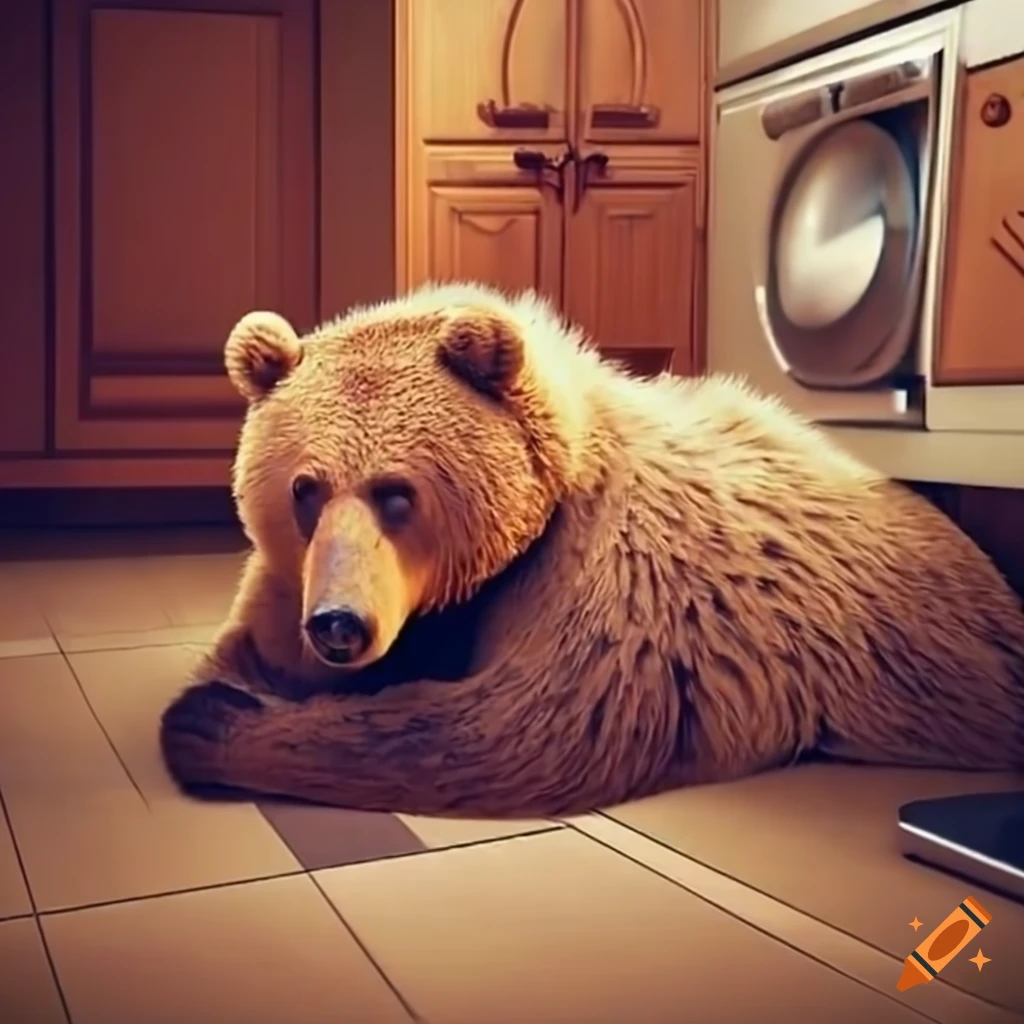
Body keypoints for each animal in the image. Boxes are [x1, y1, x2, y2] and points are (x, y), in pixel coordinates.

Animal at [159, 282, 1024, 817]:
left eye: (397, 492)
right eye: (304, 489)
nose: (340, 623)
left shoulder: (614, 583)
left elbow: (515, 728)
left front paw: (206, 720)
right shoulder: (303, 579)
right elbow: (263, 641)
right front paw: (237, 685)